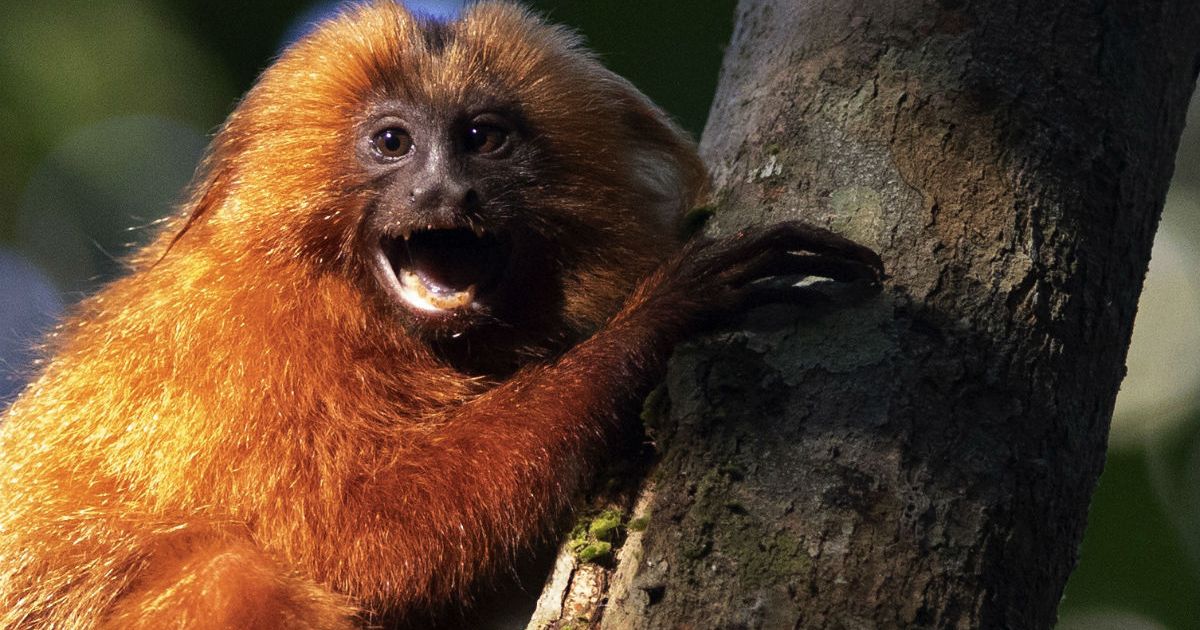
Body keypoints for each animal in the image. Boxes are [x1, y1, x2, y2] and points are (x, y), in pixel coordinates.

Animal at [0, 2, 882, 628]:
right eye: (394, 142)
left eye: (481, 138)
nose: (445, 192)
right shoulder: (243, 343)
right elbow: (344, 536)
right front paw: (657, 317)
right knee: (228, 577)